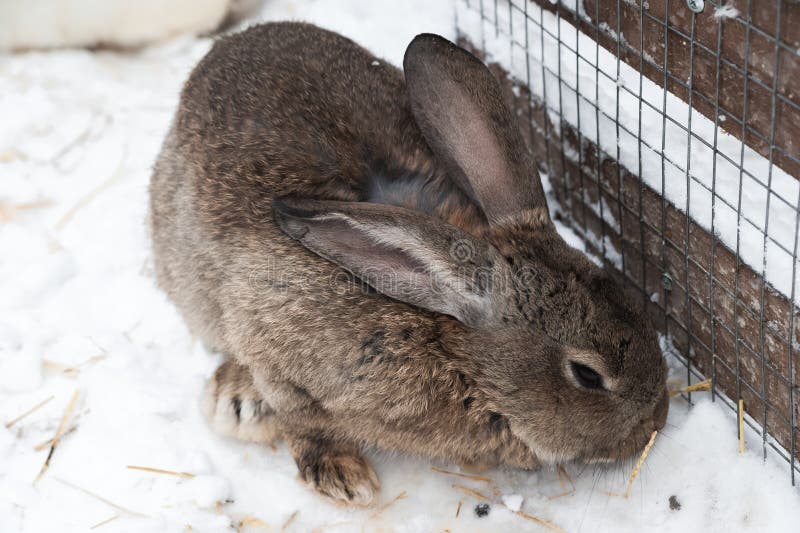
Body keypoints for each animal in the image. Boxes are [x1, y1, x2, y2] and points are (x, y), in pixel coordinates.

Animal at [149, 22, 669, 505]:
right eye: (587, 375)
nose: (658, 421)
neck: (451, 346)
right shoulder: (278, 355)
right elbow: (302, 420)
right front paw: (343, 477)